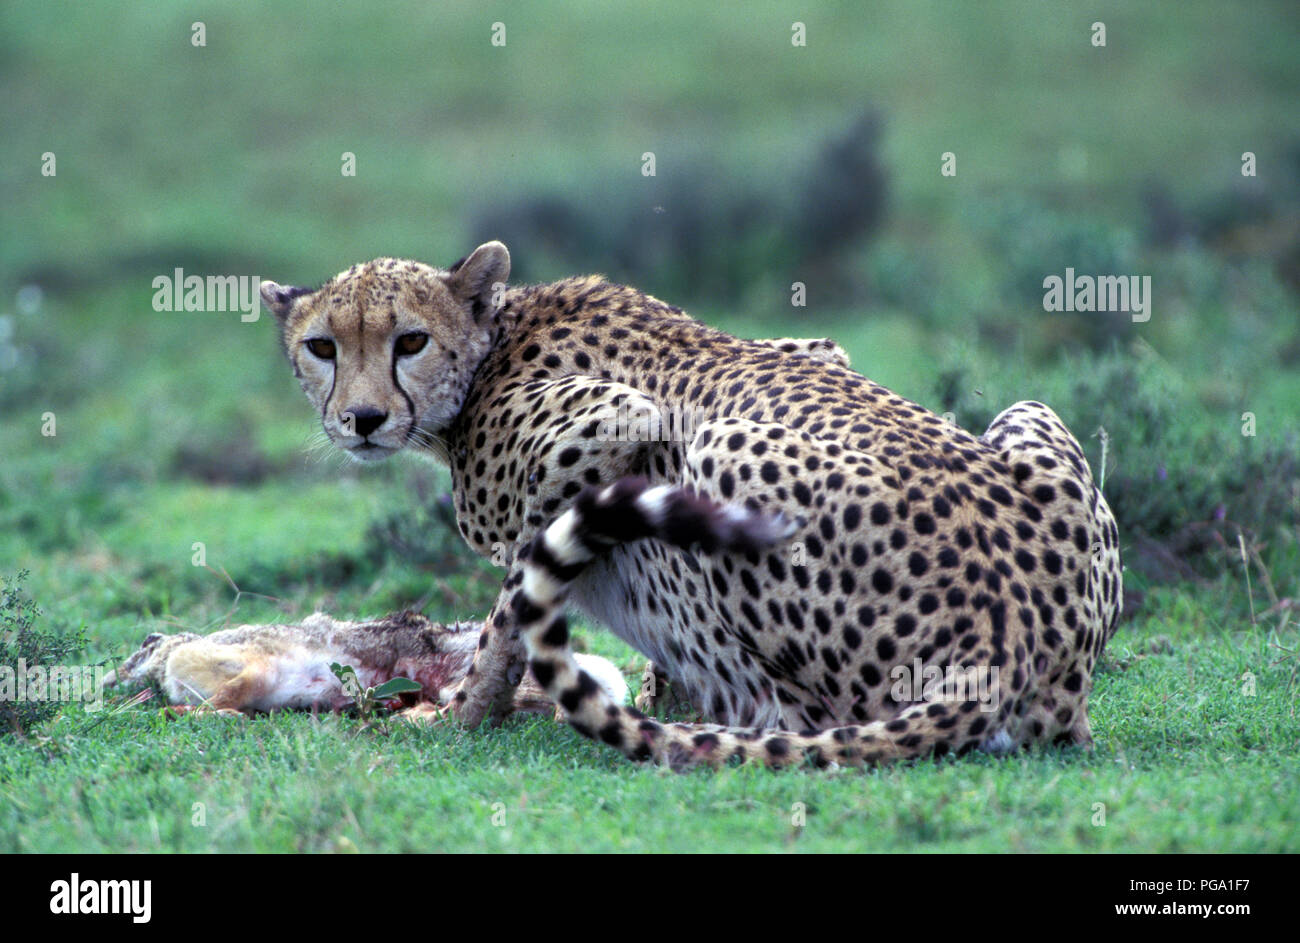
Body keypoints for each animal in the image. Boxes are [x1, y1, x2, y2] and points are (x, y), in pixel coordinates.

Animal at [259, 240, 1122, 768]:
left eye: (409, 340)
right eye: (322, 347)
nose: (363, 419)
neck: (492, 344)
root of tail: (1016, 634)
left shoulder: (616, 419)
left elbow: (511, 610)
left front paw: (460, 715)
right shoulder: (814, 348)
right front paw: (657, 689)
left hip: (720, 449)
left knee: (811, 721)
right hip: (1031, 412)